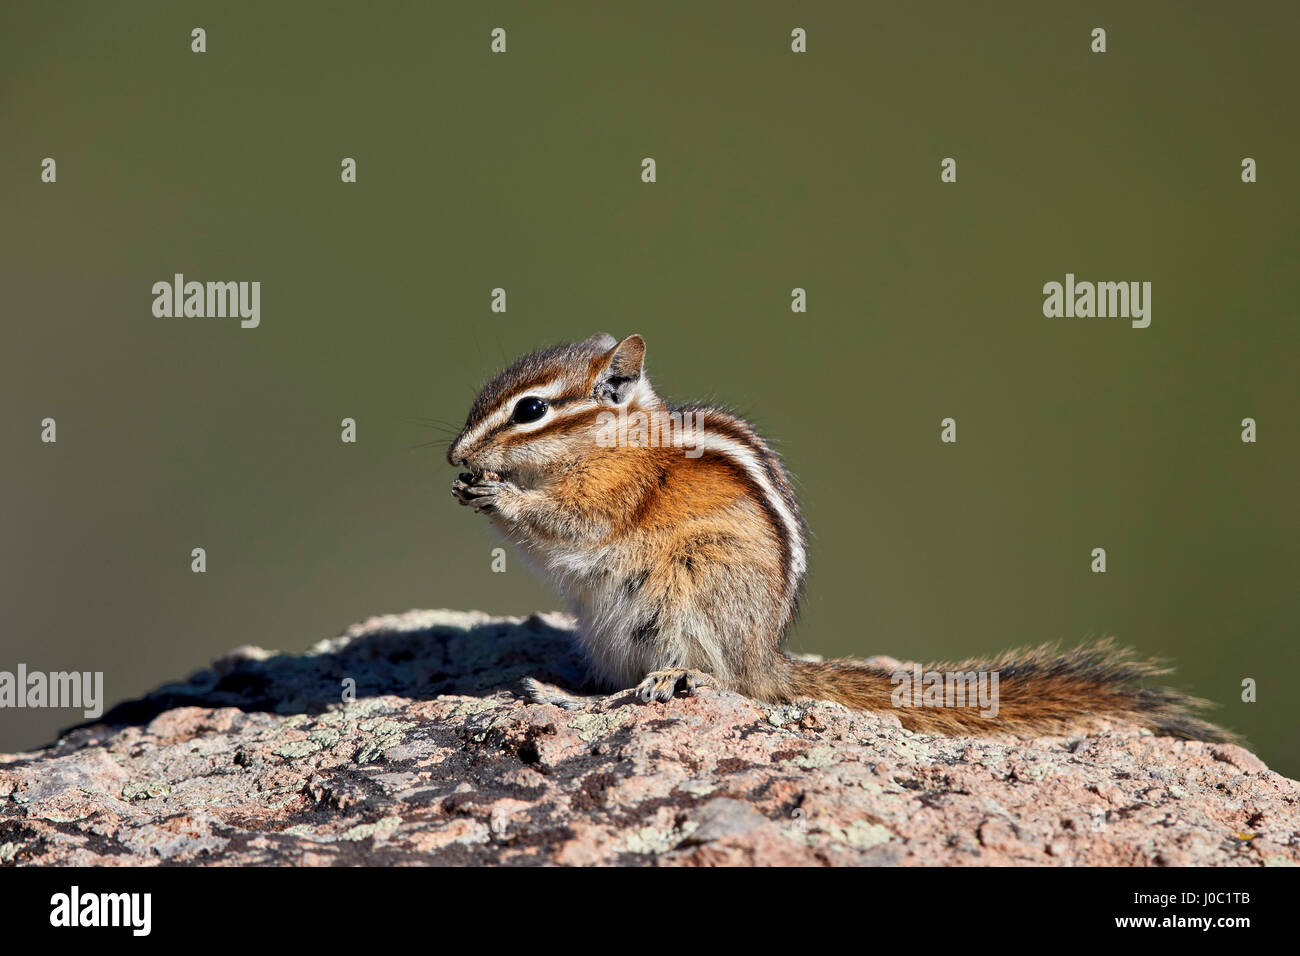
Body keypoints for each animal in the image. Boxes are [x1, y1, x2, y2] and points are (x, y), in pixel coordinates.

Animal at [448, 332, 1230, 742]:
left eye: (532, 410)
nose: (455, 457)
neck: (614, 441)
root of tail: (769, 660)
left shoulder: (613, 497)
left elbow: (568, 525)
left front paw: (498, 496)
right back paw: (562, 690)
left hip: (693, 591)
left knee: (713, 681)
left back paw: (642, 685)